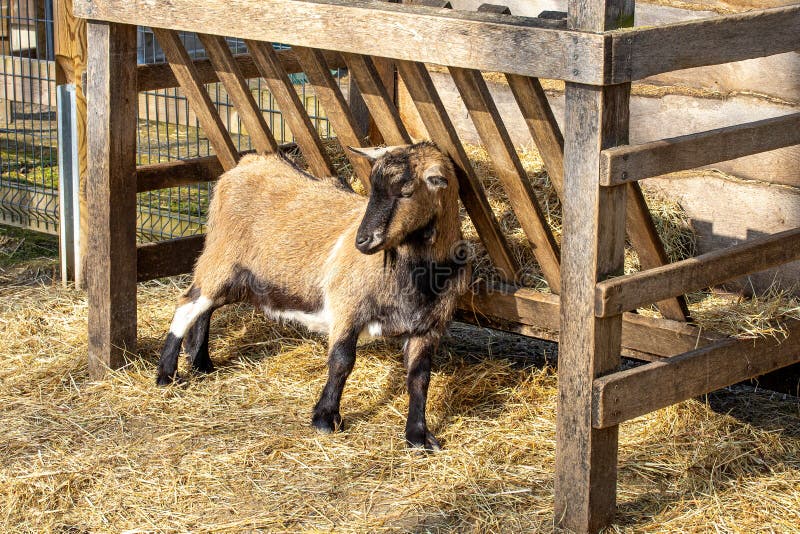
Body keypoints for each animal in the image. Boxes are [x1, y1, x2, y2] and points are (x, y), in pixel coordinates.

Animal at [156, 142, 471, 450]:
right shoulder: (347, 307)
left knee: (205, 307)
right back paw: (166, 374)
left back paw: (200, 362)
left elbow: (420, 378)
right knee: (188, 303)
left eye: (406, 191)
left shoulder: (428, 327)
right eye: (373, 189)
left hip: (237, 276)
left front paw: (419, 436)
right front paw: (325, 419)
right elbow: (342, 361)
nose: (362, 241)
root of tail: (246, 164)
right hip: (222, 259)